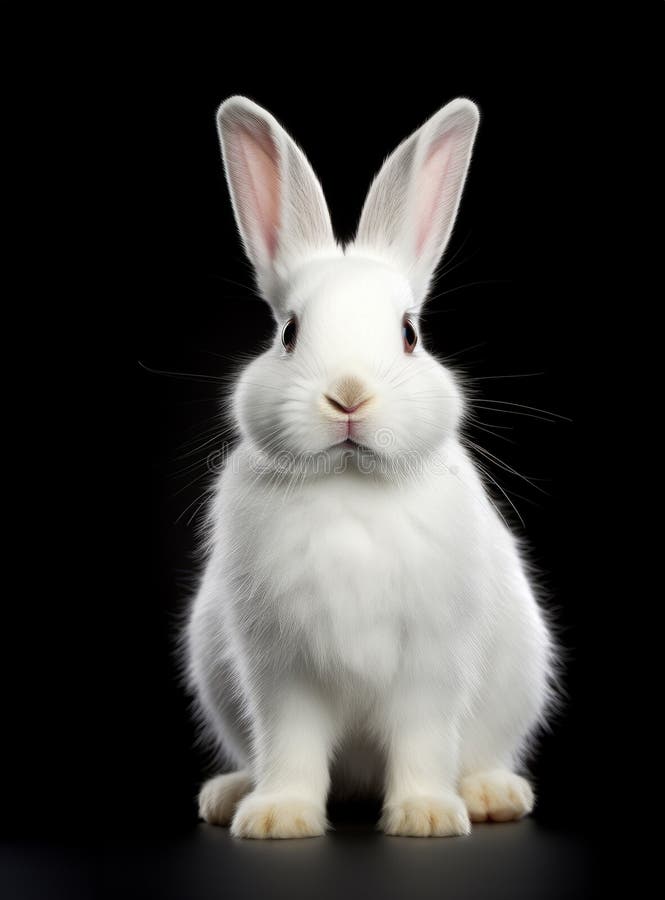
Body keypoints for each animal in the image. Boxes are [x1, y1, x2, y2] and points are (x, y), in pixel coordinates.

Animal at [183, 95, 557, 839]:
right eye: (288, 333)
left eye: (409, 335)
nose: (349, 394)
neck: (349, 486)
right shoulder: (281, 670)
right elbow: (291, 745)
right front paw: (278, 818)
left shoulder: (430, 665)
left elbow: (421, 740)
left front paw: (426, 817)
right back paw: (229, 796)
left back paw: (490, 795)